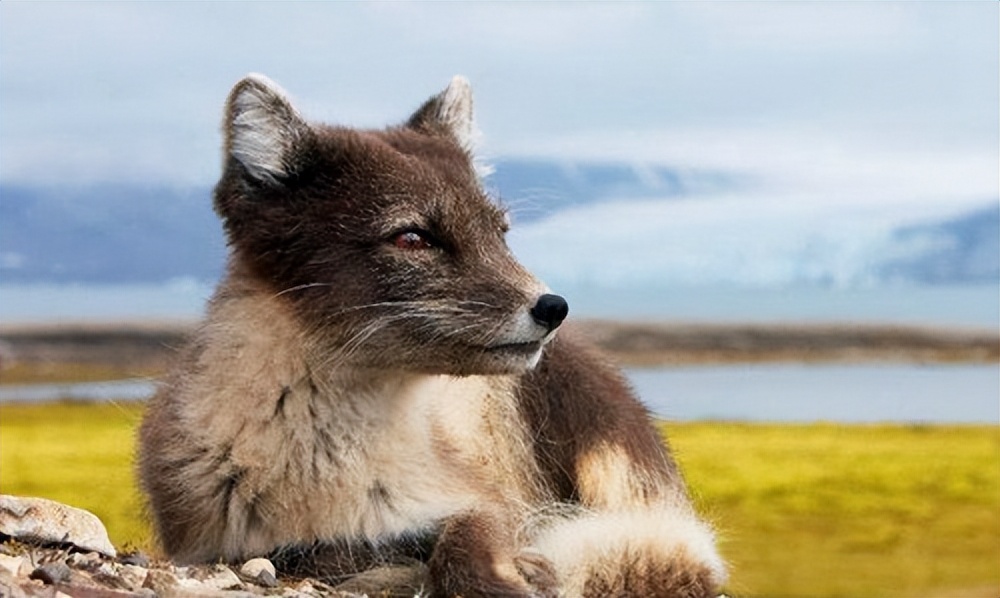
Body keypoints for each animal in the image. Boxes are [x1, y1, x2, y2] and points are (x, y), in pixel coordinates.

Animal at [137, 73, 726, 598]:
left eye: (500, 233)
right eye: (413, 237)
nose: (553, 307)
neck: (331, 468)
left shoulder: (484, 500)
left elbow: (466, 541)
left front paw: (514, 574)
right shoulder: (225, 543)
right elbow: (313, 553)